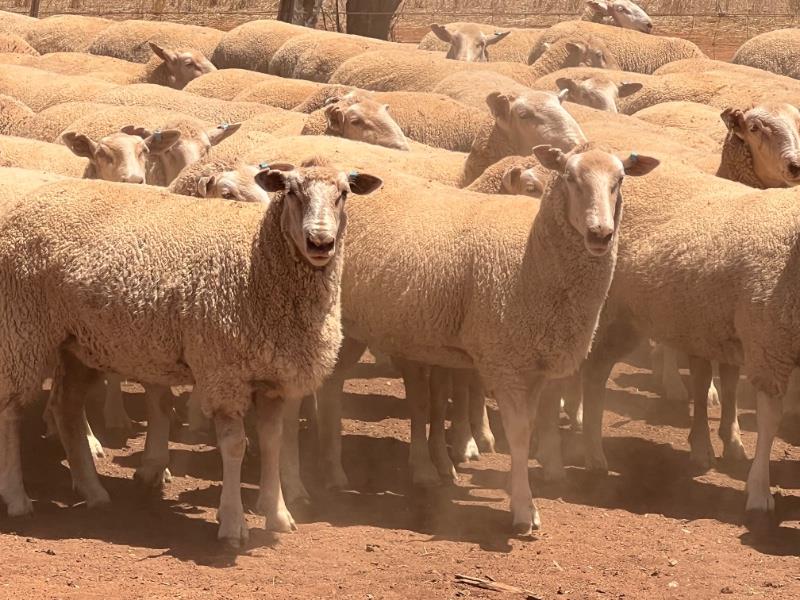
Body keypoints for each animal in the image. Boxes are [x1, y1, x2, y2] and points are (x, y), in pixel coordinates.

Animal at [0, 159, 383, 547]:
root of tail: (31, 202)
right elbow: (234, 446)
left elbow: (272, 442)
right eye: (291, 192)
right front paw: (232, 523)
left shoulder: (272, 377)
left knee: (66, 408)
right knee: (11, 412)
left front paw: (278, 515)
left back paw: (93, 492)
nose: (320, 242)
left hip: (78, 343)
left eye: (343, 193)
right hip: (23, 331)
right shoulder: (224, 372)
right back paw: (17, 498)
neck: (256, 263)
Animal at [305, 143, 658, 532]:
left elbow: (532, 424)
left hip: (355, 329)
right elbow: (518, 433)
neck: (533, 259)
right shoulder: (505, 361)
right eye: (569, 176)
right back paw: (332, 473)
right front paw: (523, 509)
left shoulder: (533, 362)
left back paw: (333, 467)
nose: (600, 234)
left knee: (331, 384)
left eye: (620, 179)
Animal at [576, 159, 800, 533]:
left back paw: (593, 453)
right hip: (596, 311)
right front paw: (758, 493)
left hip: (624, 321)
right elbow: (769, 422)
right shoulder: (769, 344)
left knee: (594, 375)